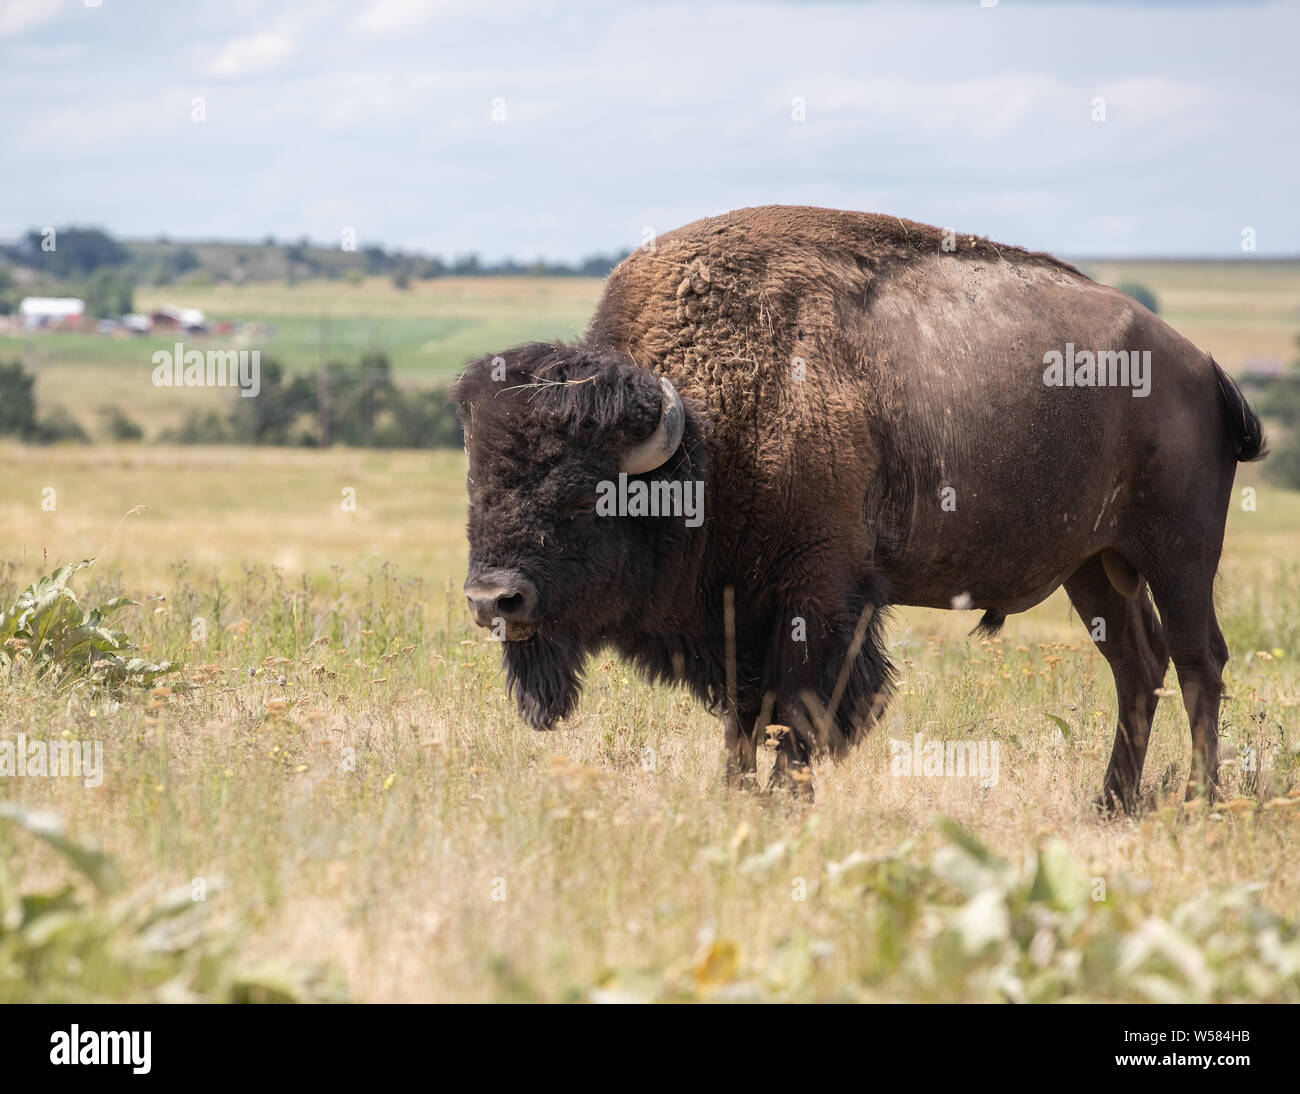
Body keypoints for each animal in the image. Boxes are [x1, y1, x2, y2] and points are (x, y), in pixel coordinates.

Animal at [452, 205, 1264, 811]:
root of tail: (1202, 365)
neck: (706, 436)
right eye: (478, 485)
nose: (495, 599)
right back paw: (1111, 804)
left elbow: (800, 714)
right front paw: (735, 798)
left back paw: (1200, 802)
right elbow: (744, 718)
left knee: (1198, 660)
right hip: (1095, 565)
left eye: (583, 488)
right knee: (1138, 663)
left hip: (1179, 554)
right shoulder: (738, 613)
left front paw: (786, 803)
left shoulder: (818, 598)